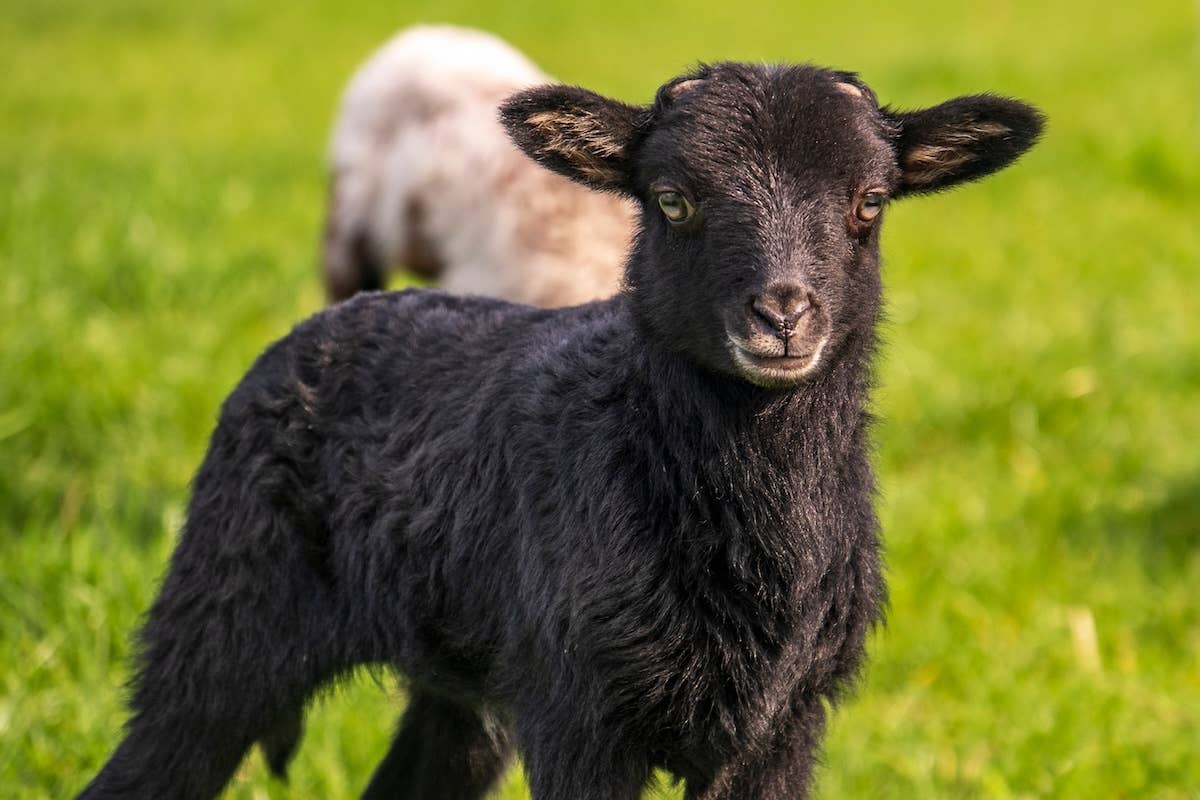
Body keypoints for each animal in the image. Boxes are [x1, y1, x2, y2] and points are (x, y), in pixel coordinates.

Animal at [77, 62, 1043, 799]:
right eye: (672, 200)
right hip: (227, 609)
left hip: (458, 680)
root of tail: (333, 319)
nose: (782, 316)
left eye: (870, 202)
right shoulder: (579, 709)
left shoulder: (782, 728)